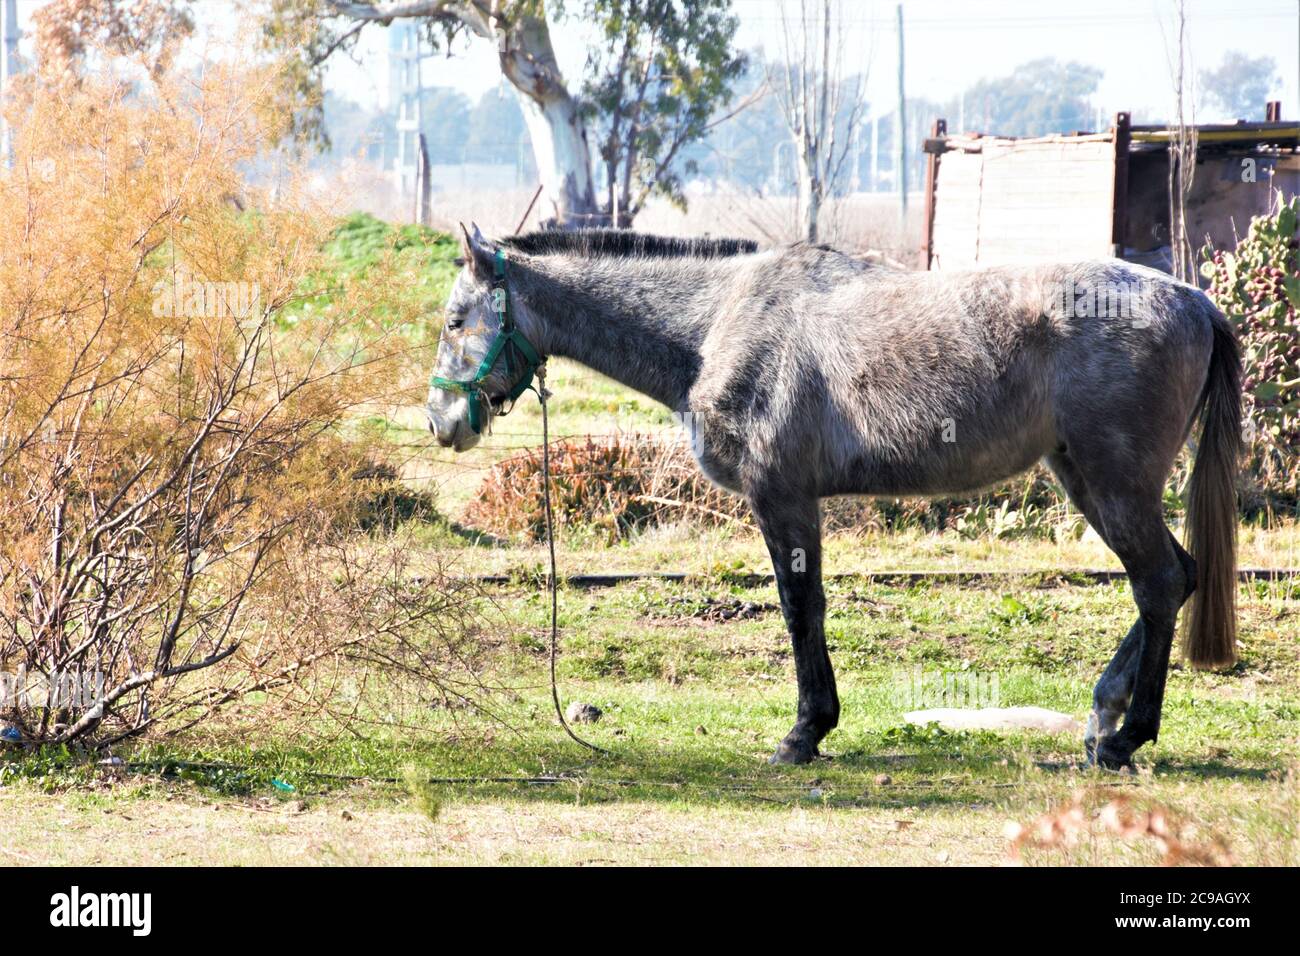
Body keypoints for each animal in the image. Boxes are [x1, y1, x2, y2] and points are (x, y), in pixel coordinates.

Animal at [427, 224, 1241, 770]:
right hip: (1085, 480)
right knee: (1170, 578)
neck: (718, 319)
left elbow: (800, 607)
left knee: (1159, 581)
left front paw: (805, 732)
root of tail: (1194, 300)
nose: (441, 422)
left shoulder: (781, 498)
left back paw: (1125, 736)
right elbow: (809, 606)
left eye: (455, 320)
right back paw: (1105, 719)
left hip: (1114, 484)